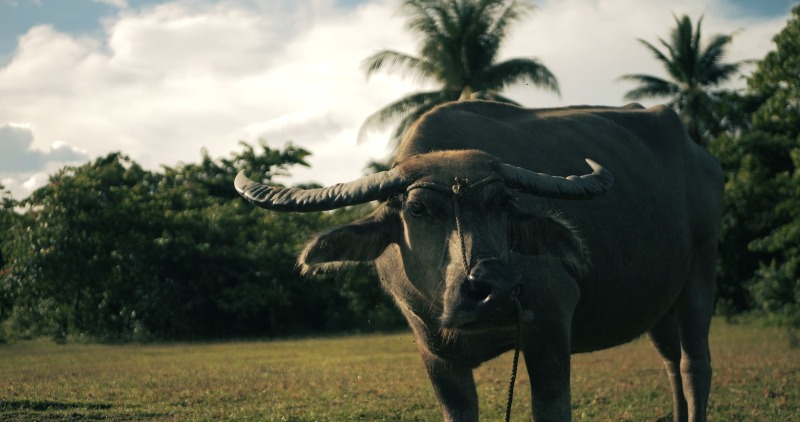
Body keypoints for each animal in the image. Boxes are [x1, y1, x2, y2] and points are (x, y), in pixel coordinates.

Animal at [234, 101, 723, 422]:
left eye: (503, 204)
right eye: (417, 209)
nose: (498, 291)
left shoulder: (550, 327)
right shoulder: (435, 355)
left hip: (702, 267)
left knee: (694, 364)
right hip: (659, 301)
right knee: (670, 360)